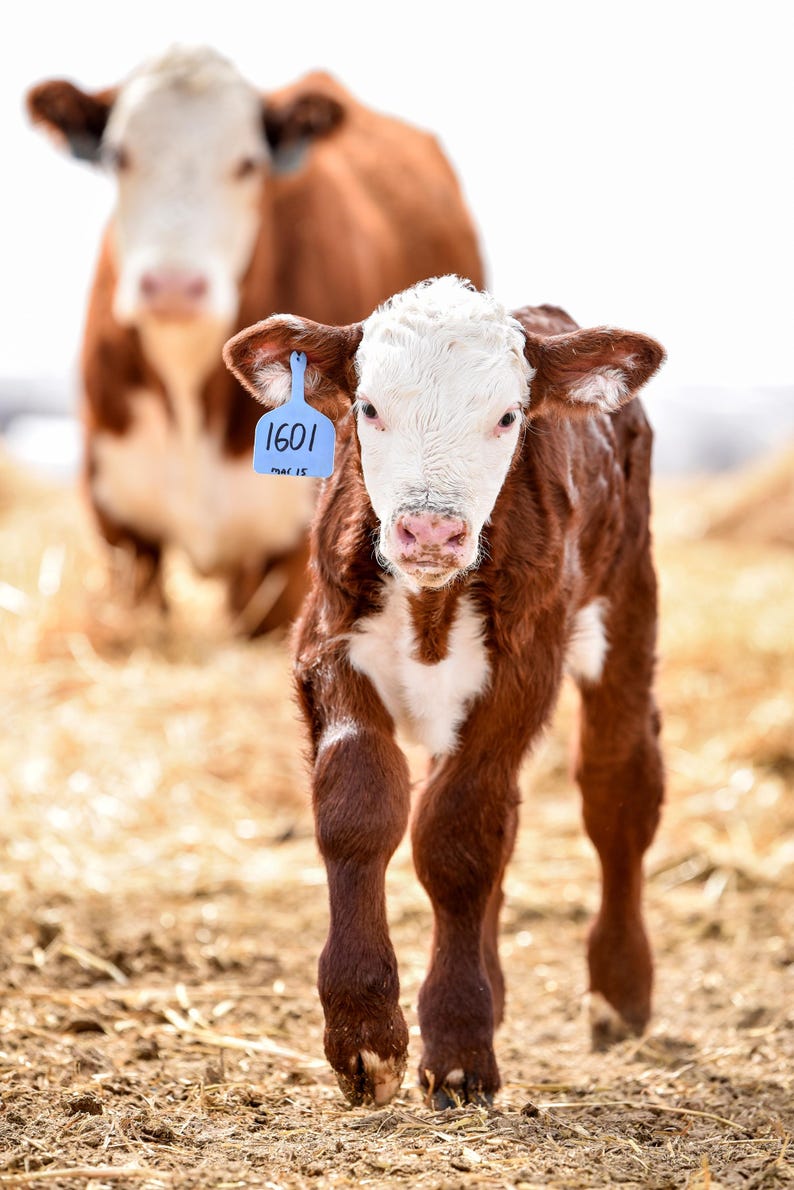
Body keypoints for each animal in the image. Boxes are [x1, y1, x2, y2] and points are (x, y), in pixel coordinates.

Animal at [223, 274, 666, 1106]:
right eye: (367, 407)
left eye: (508, 415)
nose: (430, 530)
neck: (431, 603)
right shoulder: (325, 645)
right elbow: (359, 805)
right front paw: (364, 1037)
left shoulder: (525, 672)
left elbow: (458, 839)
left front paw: (459, 1047)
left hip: (627, 605)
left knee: (617, 790)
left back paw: (619, 991)